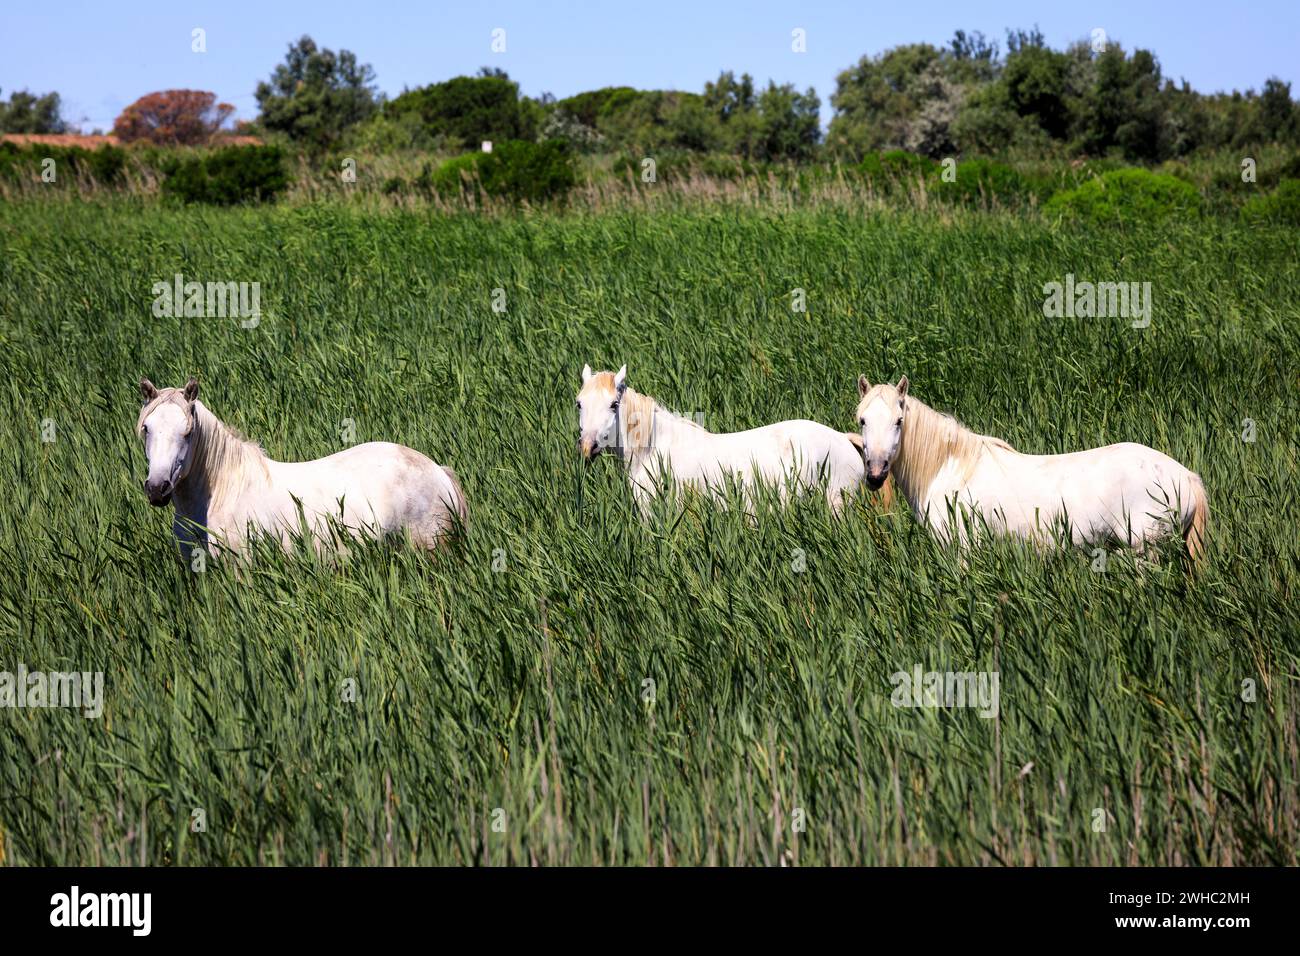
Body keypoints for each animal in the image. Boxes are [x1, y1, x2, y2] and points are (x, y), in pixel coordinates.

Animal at [853, 375, 1208, 559]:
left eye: (899, 421)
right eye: (862, 420)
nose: (875, 474)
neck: (948, 468)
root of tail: (1185, 476)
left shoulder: (964, 548)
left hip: (1143, 551)